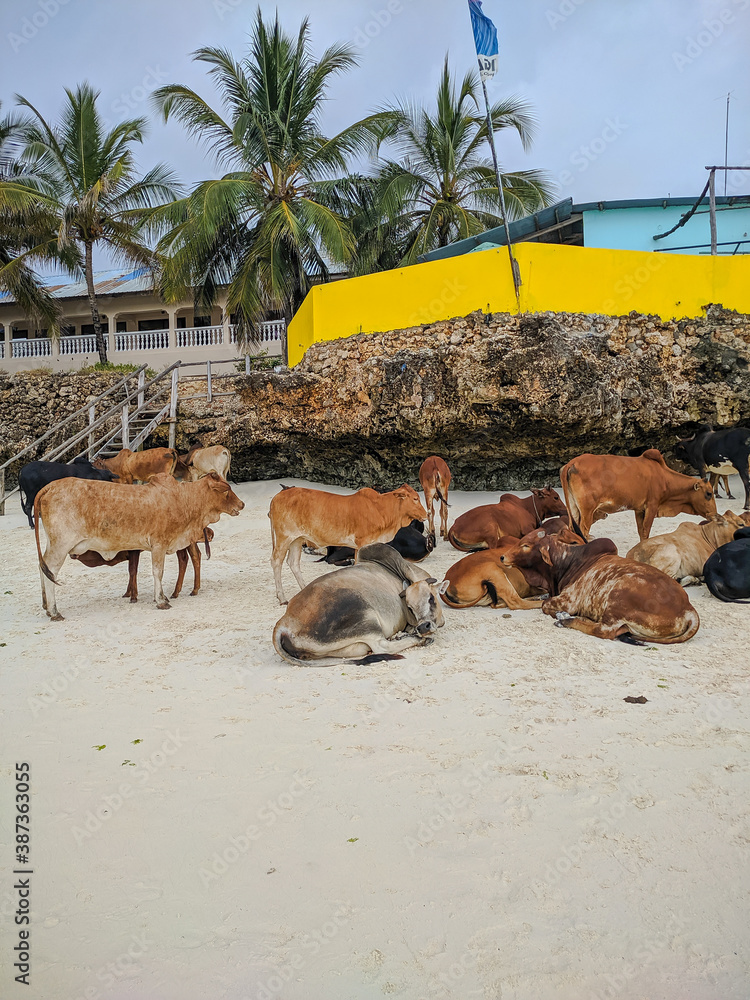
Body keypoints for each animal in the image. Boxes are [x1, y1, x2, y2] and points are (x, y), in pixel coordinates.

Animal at [70, 528, 215, 601]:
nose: (72, 554)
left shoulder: (134, 550)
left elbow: (132, 570)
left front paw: (133, 596)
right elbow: (132, 571)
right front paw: (129, 592)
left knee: (190, 558)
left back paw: (188, 590)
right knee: (189, 558)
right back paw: (182, 591)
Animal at [269, 485, 427, 604]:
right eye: (415, 499)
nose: (426, 514)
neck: (381, 510)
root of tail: (278, 496)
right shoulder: (362, 544)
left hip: (297, 539)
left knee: (293, 562)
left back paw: (304, 589)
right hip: (284, 537)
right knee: (276, 561)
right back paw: (282, 597)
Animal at [272, 543, 445, 666]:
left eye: (431, 598)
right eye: (409, 606)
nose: (423, 627)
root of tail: (284, 622)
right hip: (367, 620)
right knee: (382, 646)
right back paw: (419, 639)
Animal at [499, 527, 700, 644]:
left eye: (526, 545)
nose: (502, 557)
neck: (568, 562)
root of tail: (688, 609)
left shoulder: (568, 601)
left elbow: (545, 605)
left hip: (617, 600)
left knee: (604, 631)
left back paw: (566, 620)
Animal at [560, 450, 717, 541]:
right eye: (708, 493)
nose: (715, 515)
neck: (664, 477)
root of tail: (571, 463)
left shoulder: (639, 510)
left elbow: (641, 532)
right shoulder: (652, 506)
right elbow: (646, 532)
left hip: (574, 509)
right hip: (587, 511)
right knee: (583, 531)